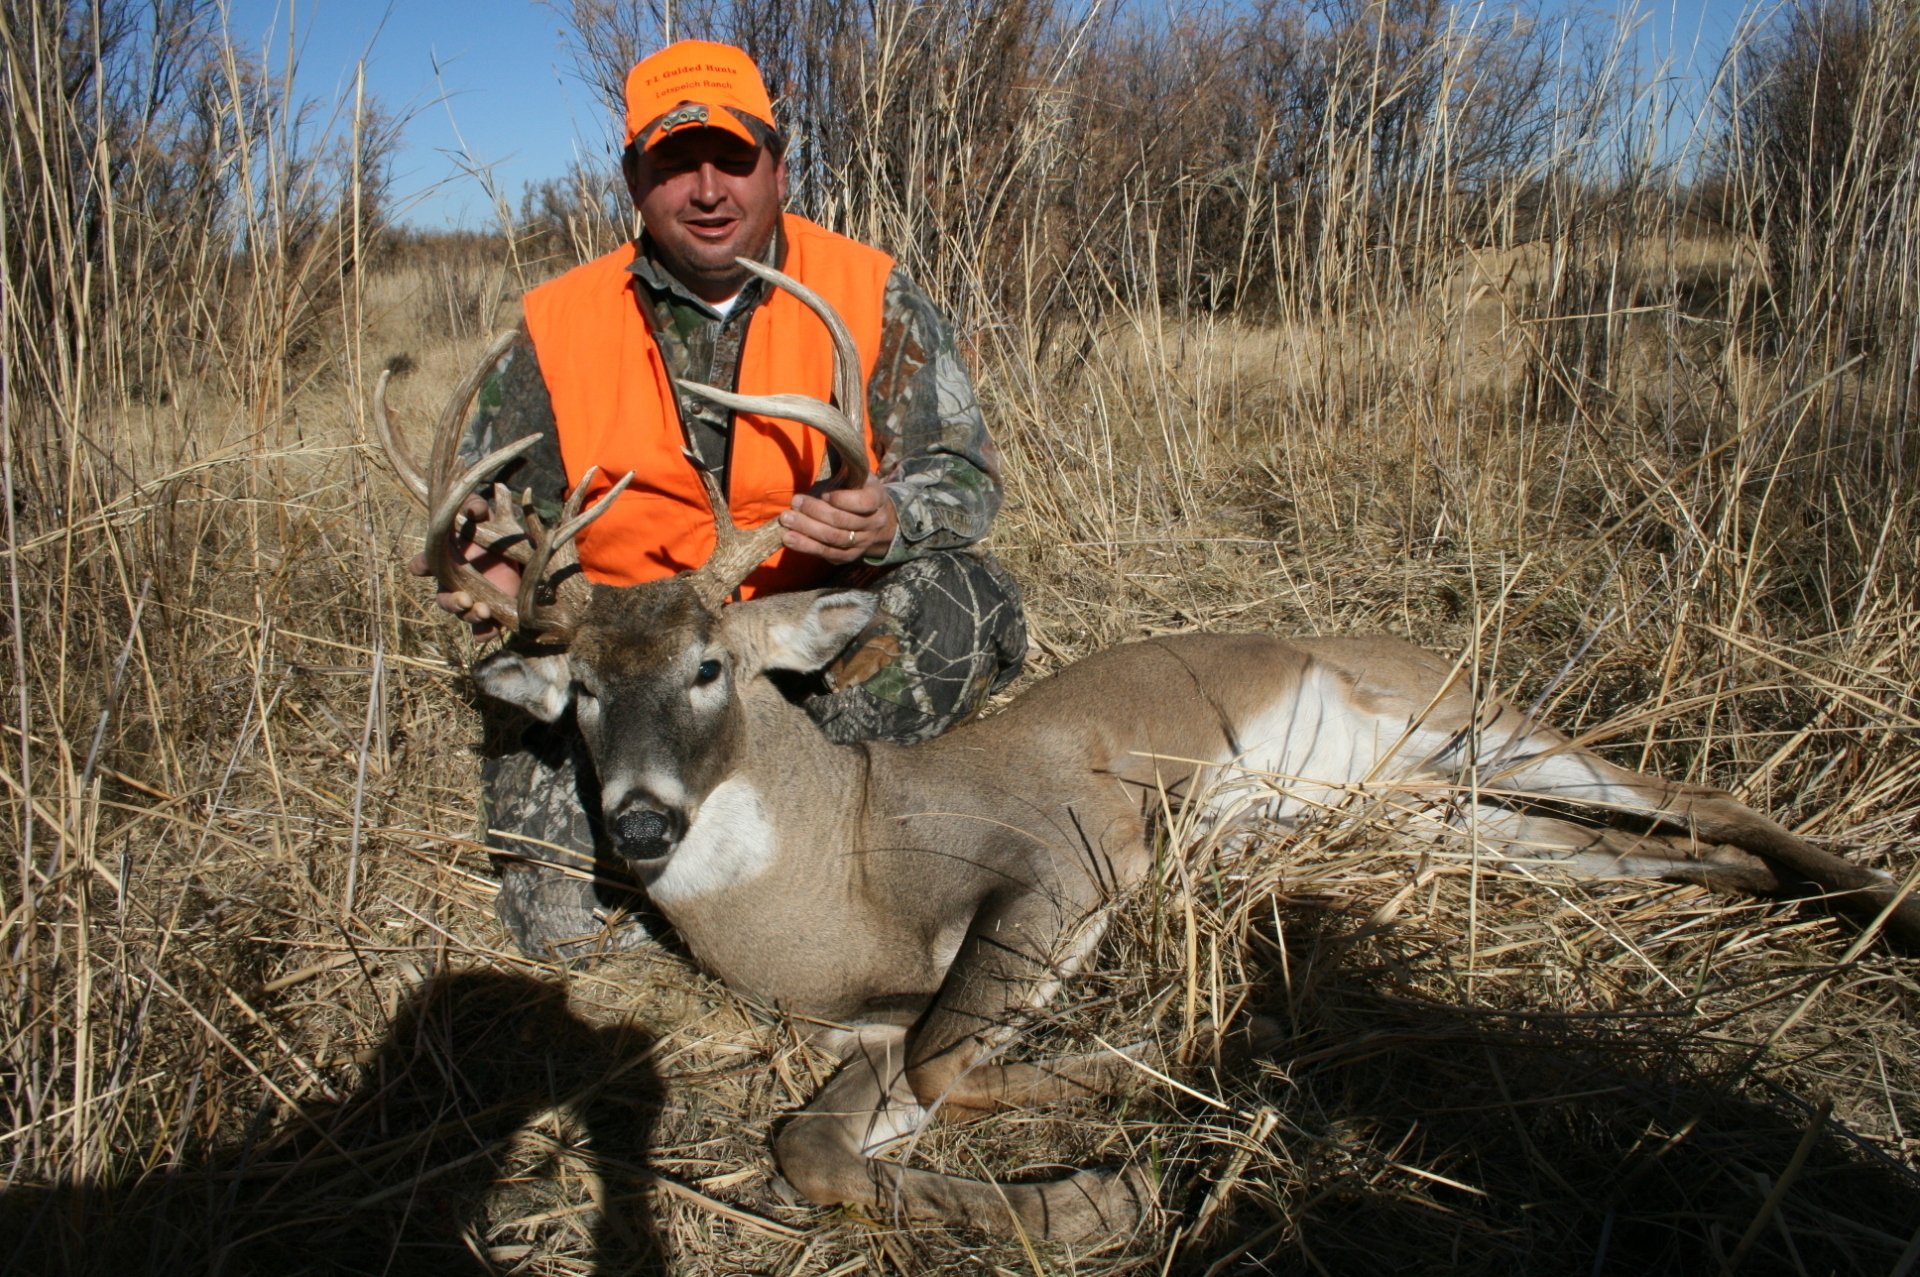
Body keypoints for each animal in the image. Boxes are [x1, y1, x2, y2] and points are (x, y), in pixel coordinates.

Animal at [374, 259, 1920, 1242]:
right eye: (576, 692)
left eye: (710, 666)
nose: (640, 825)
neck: (841, 875)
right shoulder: (870, 1024)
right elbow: (816, 1142)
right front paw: (1090, 1195)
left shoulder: (1059, 858)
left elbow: (954, 1063)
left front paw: (1185, 1068)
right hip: (1437, 808)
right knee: (1641, 851)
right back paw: (1755, 899)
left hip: (1474, 716)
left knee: (1699, 793)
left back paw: (1879, 904)